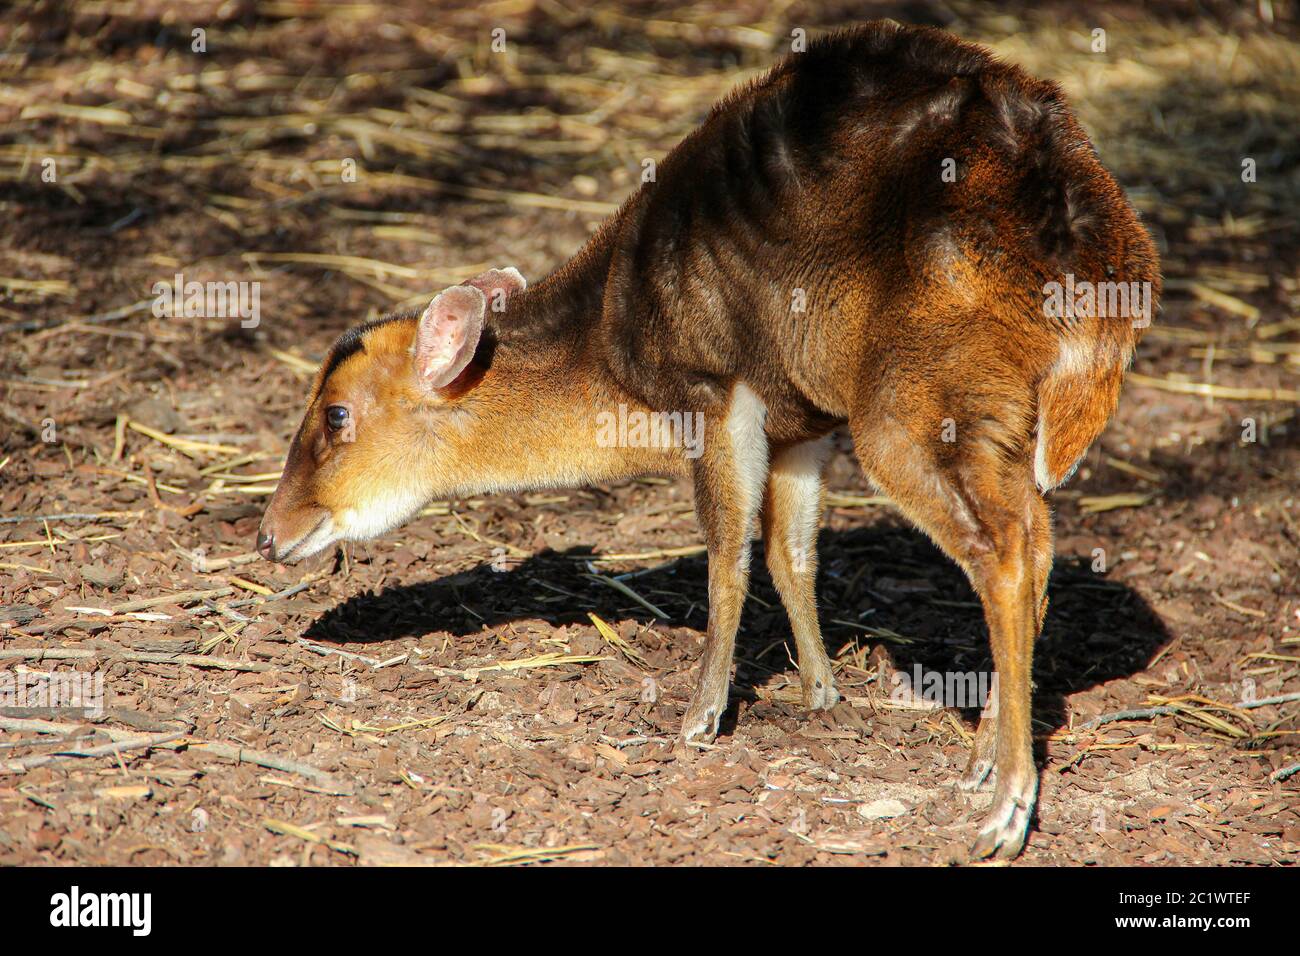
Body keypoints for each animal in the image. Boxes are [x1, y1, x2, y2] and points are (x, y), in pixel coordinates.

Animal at [257, 21, 1160, 860]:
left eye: (335, 416)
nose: (269, 534)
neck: (611, 350)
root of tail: (1102, 258)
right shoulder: (801, 425)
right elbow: (791, 553)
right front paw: (820, 692)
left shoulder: (714, 395)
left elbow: (728, 556)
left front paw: (698, 717)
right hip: (993, 418)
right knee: (1037, 535)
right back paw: (982, 758)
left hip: (915, 403)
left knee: (1002, 551)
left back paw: (1006, 806)